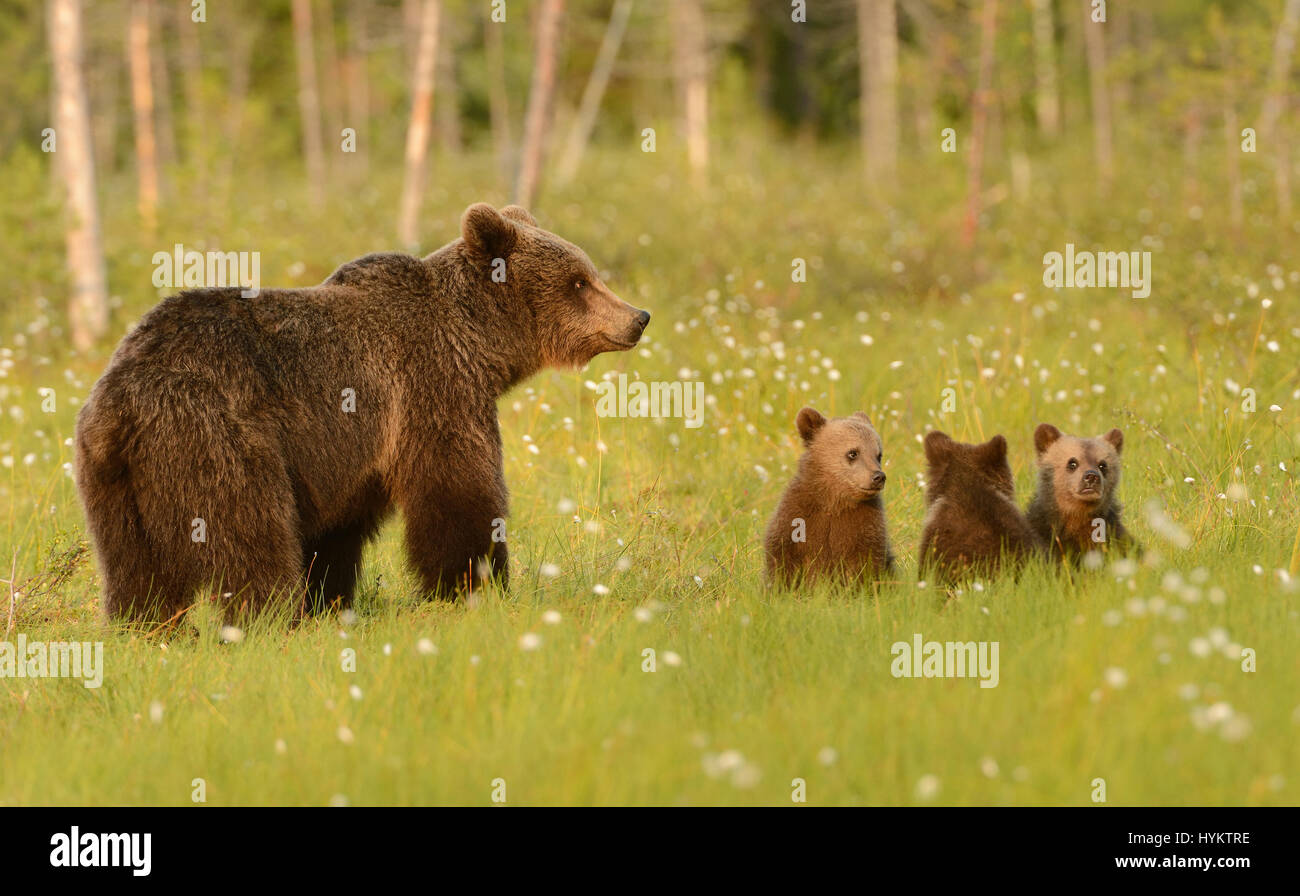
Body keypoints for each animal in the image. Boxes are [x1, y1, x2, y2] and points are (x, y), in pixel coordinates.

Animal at [74, 203, 650, 624]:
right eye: (578, 281)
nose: (638, 317)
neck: (479, 345)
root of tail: (122, 395)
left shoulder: (347, 456)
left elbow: (336, 531)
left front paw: (331, 601)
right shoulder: (430, 389)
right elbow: (458, 492)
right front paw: (476, 584)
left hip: (113, 478)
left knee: (133, 566)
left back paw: (146, 627)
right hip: (216, 433)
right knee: (249, 534)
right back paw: (271, 619)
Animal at [763, 407, 894, 587]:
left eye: (878, 454)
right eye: (853, 453)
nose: (878, 477)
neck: (835, 501)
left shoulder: (866, 525)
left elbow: (866, 564)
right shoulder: (797, 517)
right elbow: (782, 560)